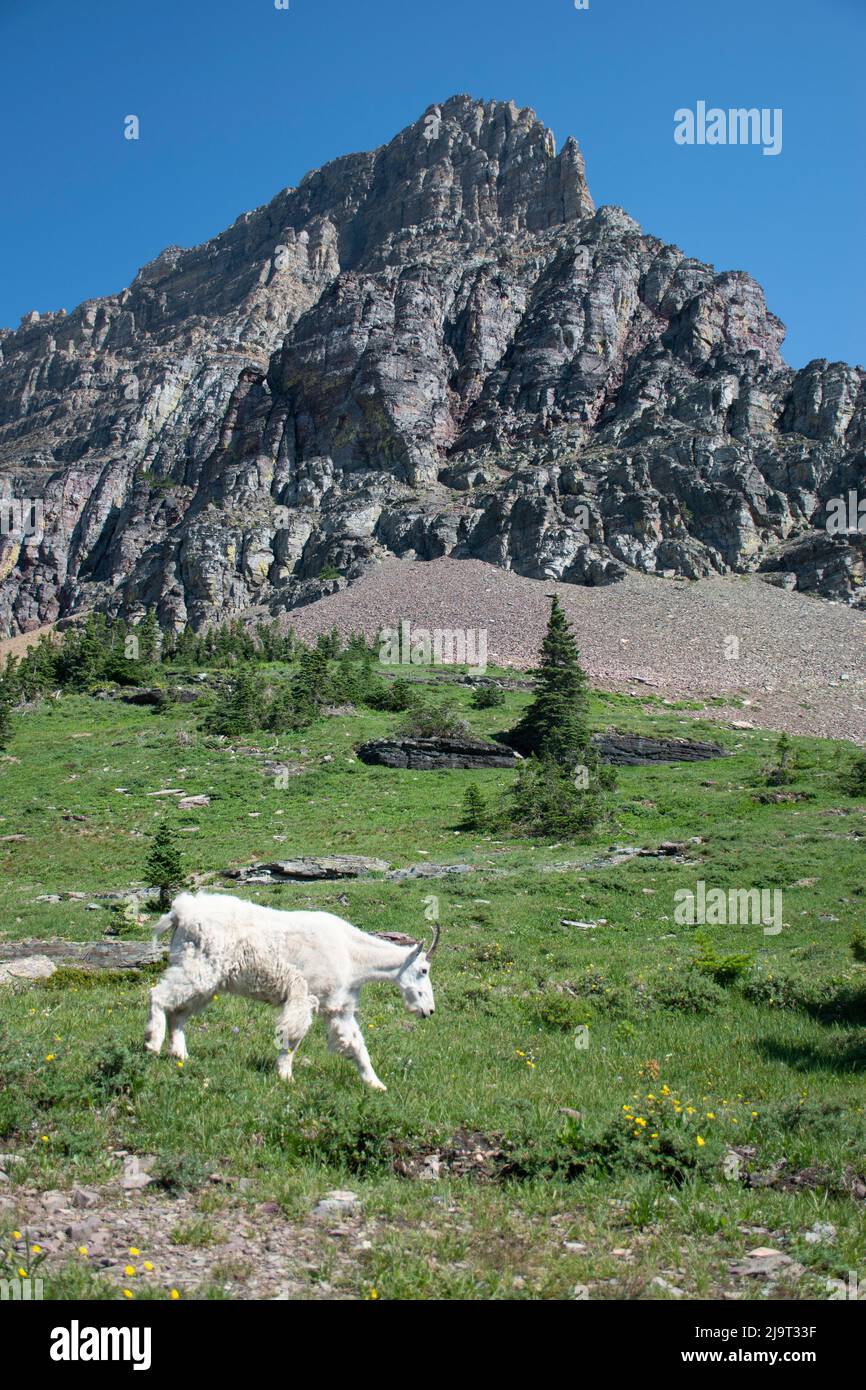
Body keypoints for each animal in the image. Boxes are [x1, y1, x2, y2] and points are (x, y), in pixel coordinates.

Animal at [144, 891, 439, 1090]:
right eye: (424, 970)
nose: (429, 1010)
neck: (352, 955)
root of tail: (180, 913)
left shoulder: (338, 1007)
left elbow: (355, 1043)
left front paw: (376, 1084)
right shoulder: (305, 996)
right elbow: (293, 1036)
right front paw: (285, 1076)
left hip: (207, 982)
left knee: (178, 1013)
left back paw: (180, 1054)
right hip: (198, 967)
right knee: (158, 996)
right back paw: (152, 1043)